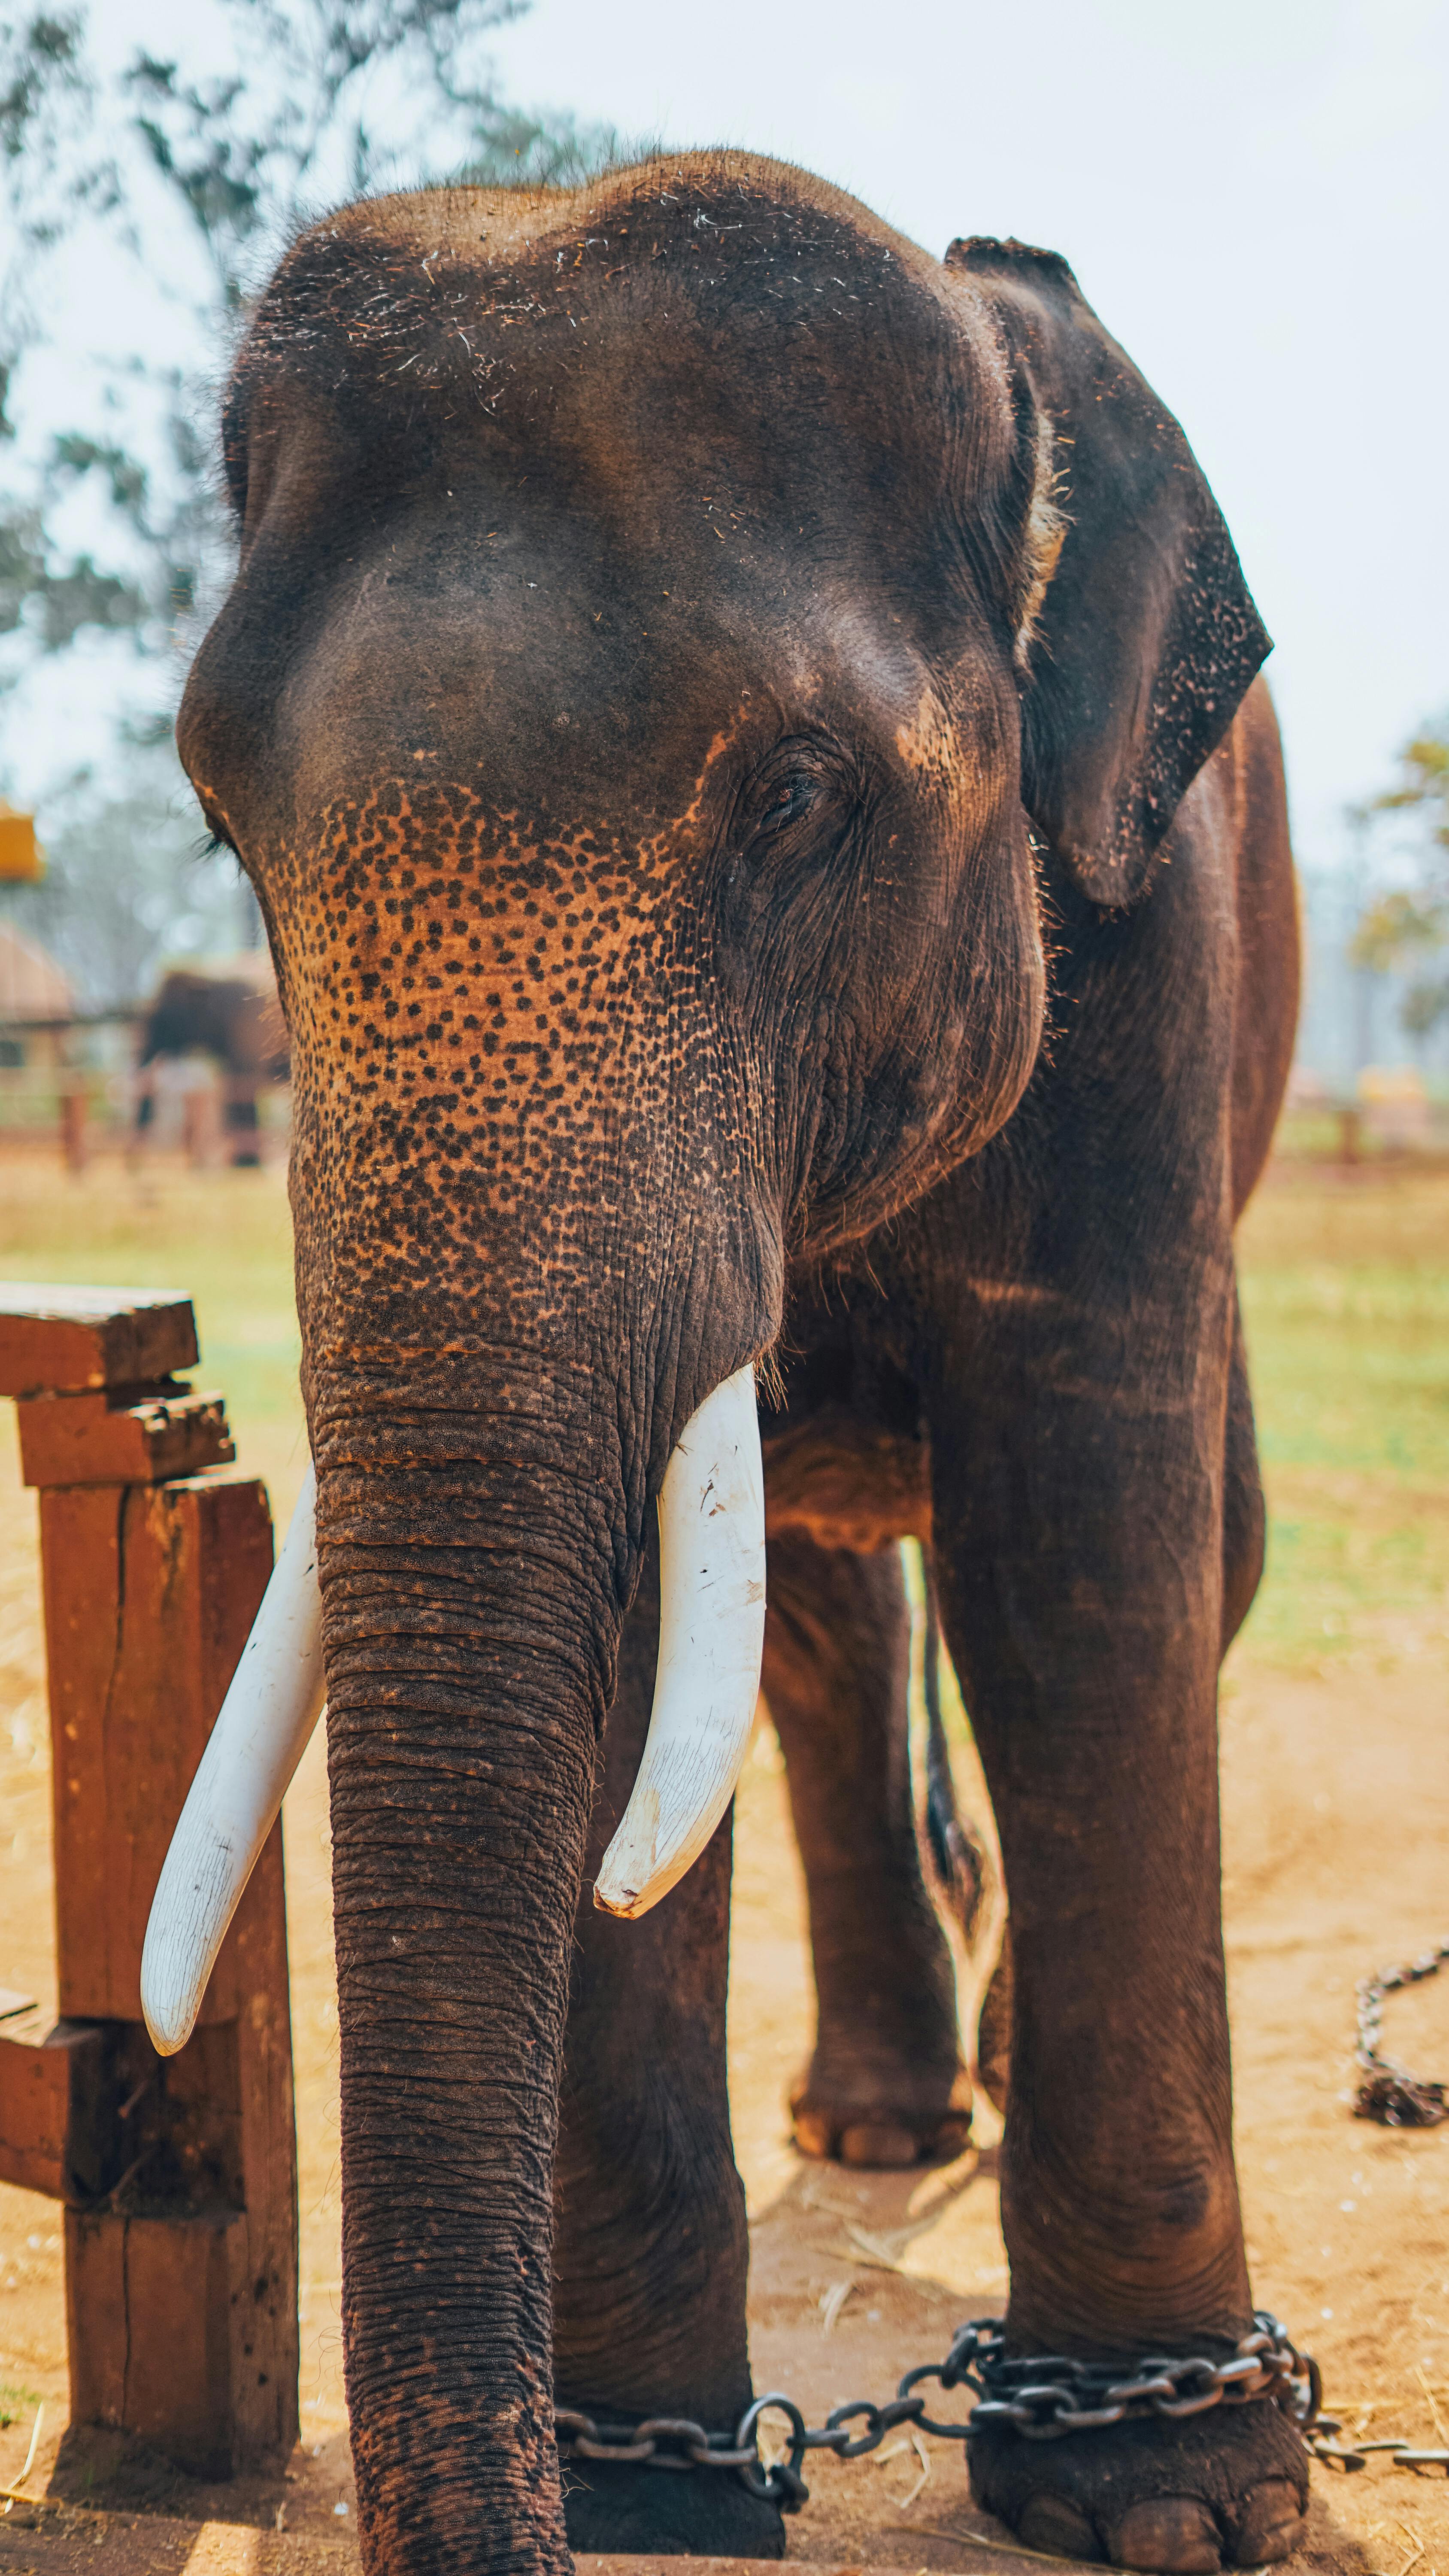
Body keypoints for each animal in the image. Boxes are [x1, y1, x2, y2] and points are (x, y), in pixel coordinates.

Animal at [162, 152, 1302, 2576]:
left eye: (792, 798)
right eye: (220, 822)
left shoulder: (1144, 959)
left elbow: (1080, 1564)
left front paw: (1161, 2500)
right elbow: (632, 1641)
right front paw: (650, 2490)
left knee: (1176, 1563)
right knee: (805, 1621)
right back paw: (872, 2128)